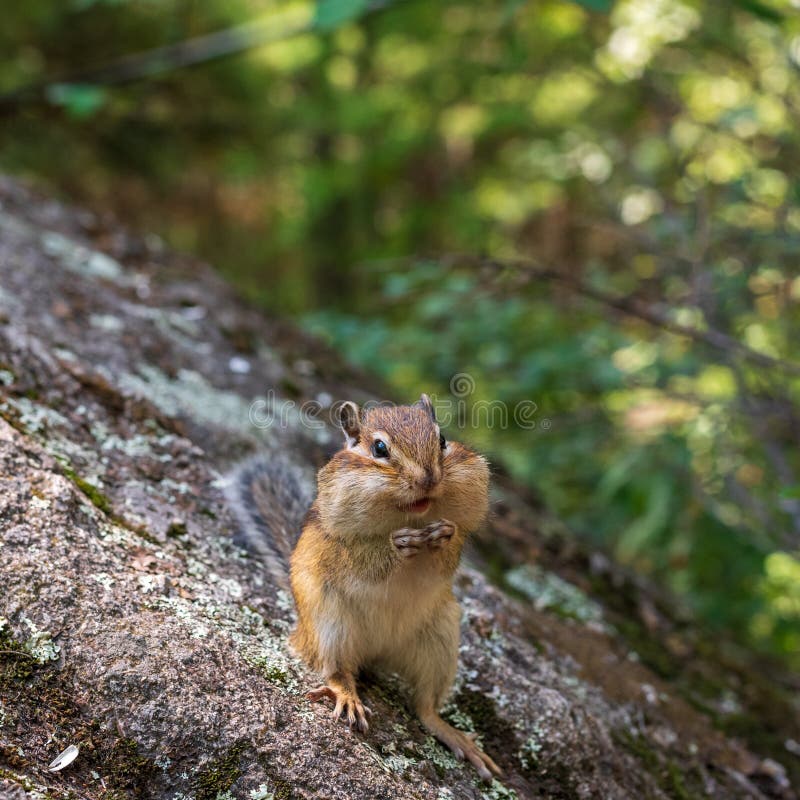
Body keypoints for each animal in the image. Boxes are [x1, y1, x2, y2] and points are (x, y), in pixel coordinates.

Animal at [227, 394, 501, 782]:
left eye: (443, 440)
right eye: (380, 448)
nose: (429, 479)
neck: (410, 515)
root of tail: (377, 650)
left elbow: (451, 549)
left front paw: (443, 535)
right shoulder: (341, 544)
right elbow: (365, 559)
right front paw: (397, 545)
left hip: (440, 638)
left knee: (424, 707)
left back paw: (455, 736)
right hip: (331, 625)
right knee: (337, 671)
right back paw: (348, 697)